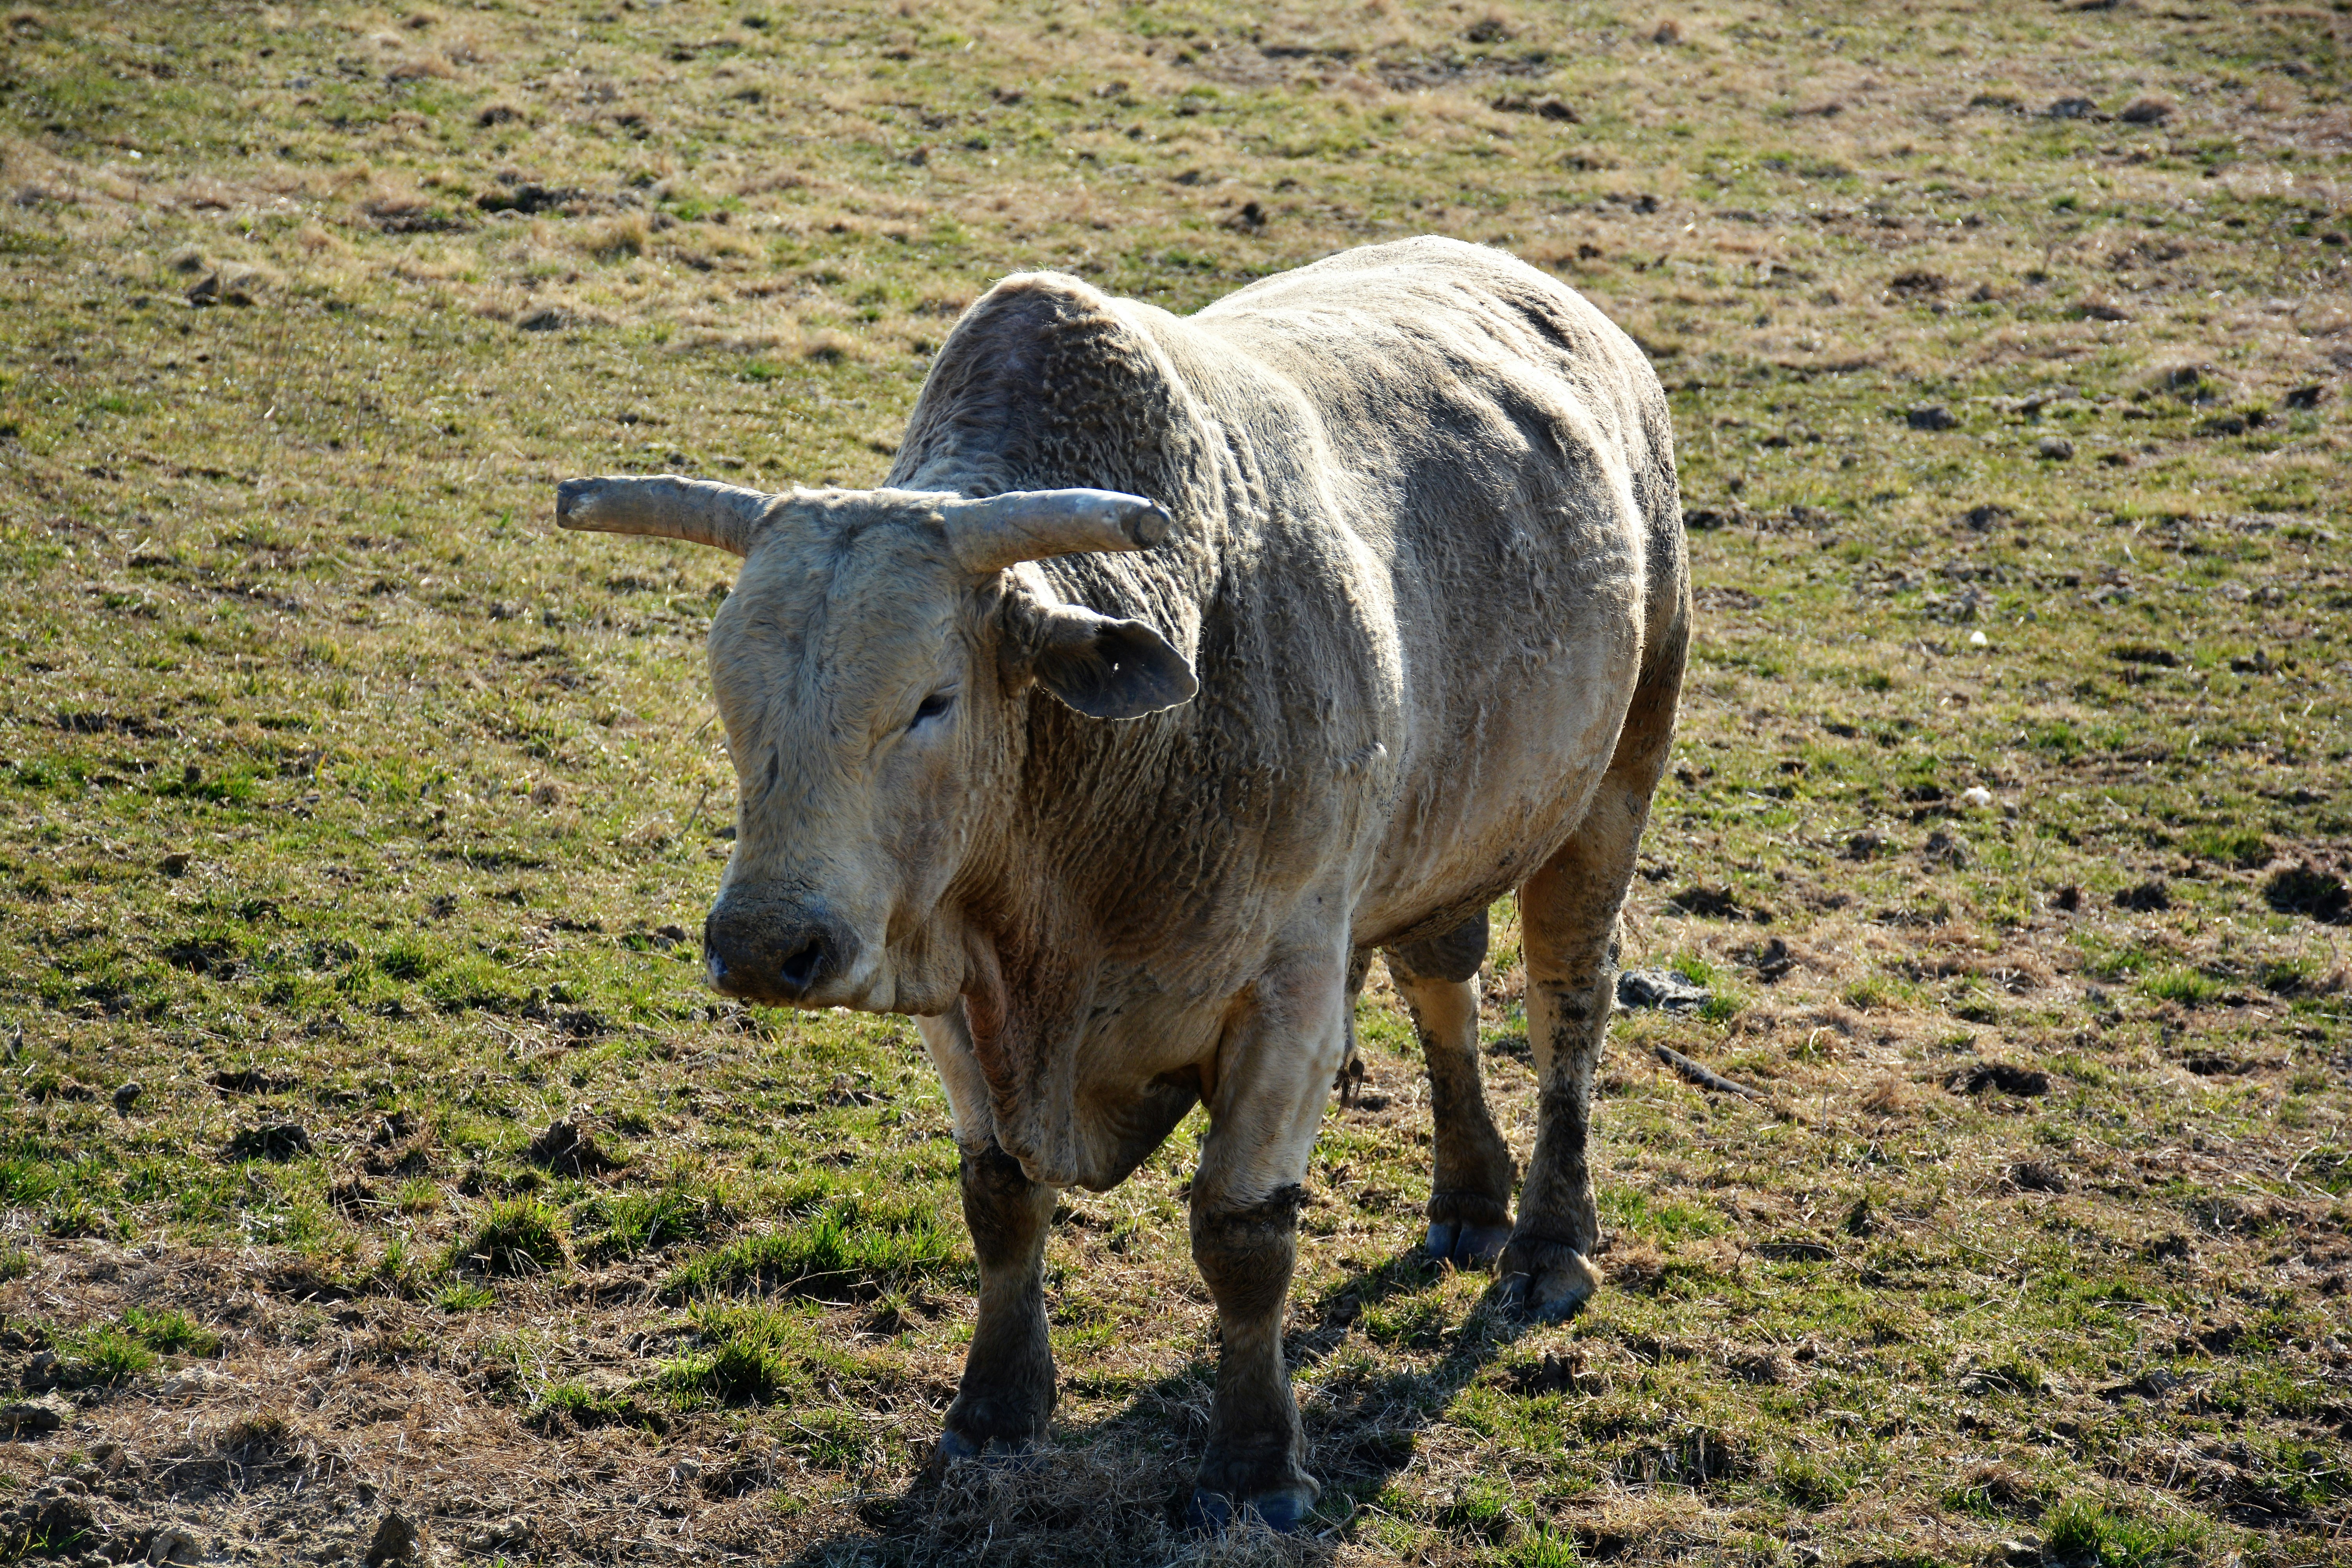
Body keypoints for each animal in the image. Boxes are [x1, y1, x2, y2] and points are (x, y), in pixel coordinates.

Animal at [554, 235, 1688, 1532]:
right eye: (730, 689)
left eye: (932, 697)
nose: (762, 944)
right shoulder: (961, 983)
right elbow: (998, 1197)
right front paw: (994, 1410)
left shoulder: (1288, 998)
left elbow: (1242, 1238)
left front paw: (1252, 1464)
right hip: (1451, 827)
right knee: (1440, 980)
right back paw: (1469, 1193)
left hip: (1613, 781)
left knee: (1567, 1005)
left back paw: (1547, 1236)